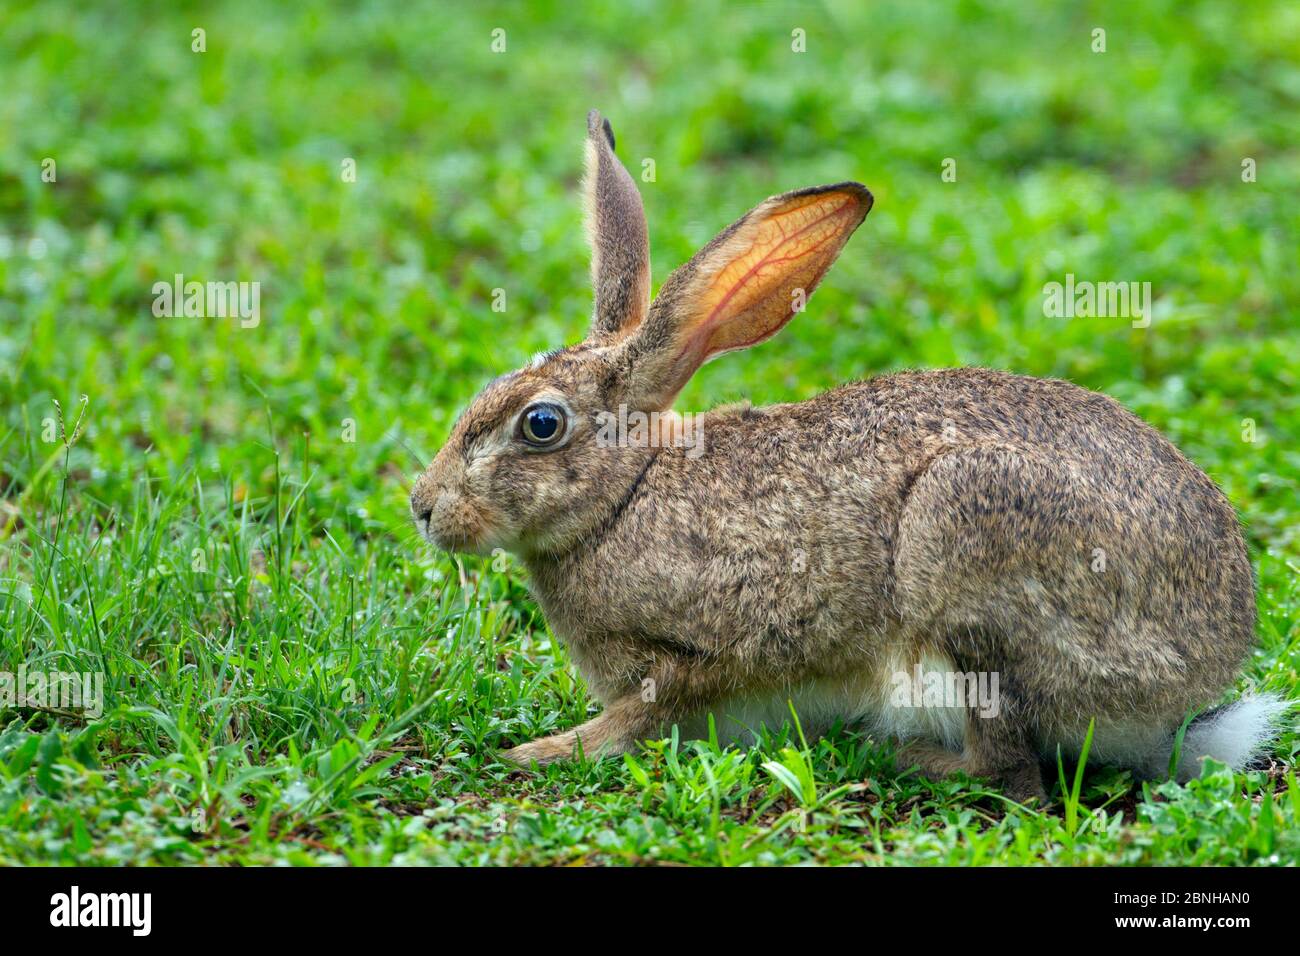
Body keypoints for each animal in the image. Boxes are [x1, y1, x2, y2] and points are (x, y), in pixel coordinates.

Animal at [410, 110, 1286, 801]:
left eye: (541, 424)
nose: (423, 507)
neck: (624, 495)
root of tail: (1194, 678)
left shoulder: (703, 653)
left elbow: (639, 715)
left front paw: (538, 751)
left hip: (961, 554)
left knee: (1013, 773)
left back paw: (900, 756)